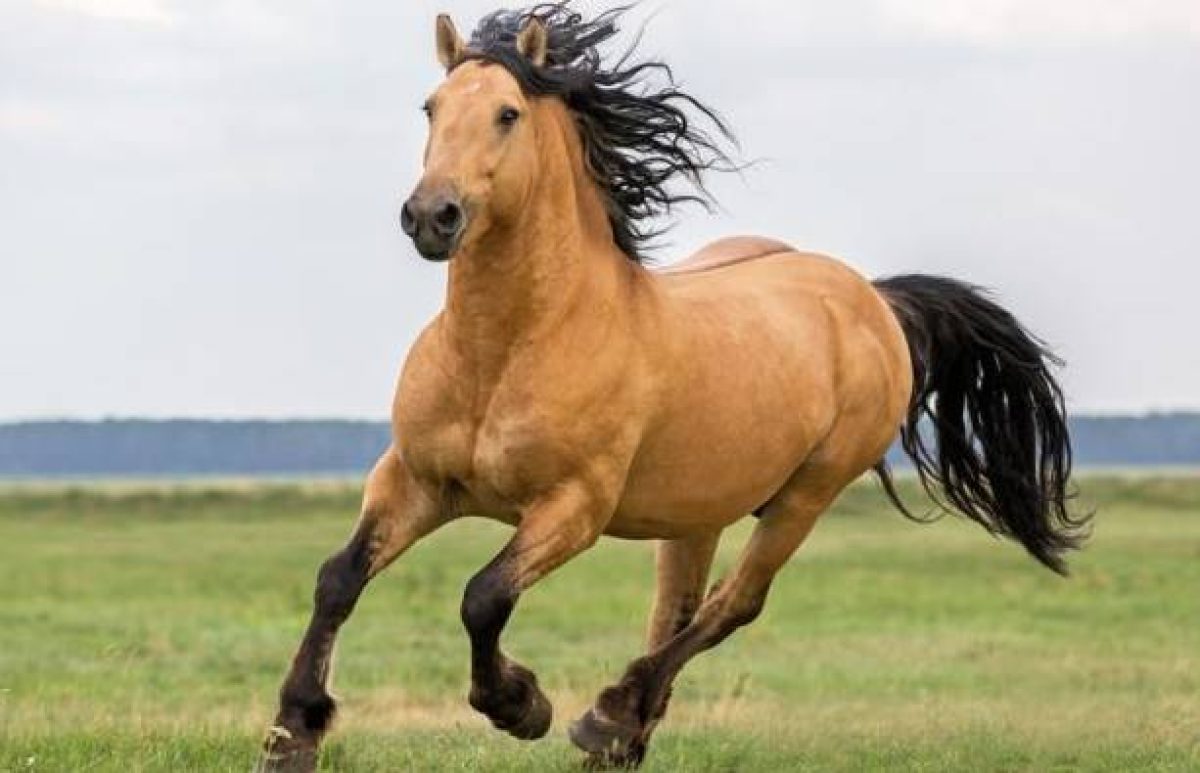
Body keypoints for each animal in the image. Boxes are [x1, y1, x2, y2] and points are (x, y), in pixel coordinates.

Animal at [259, 5, 1088, 770]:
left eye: (507, 113)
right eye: (431, 108)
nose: (432, 216)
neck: (507, 349)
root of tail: (872, 298)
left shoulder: (573, 506)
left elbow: (483, 595)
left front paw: (521, 705)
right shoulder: (415, 479)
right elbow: (338, 578)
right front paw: (293, 731)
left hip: (806, 495)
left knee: (731, 605)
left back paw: (605, 717)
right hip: (698, 512)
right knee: (677, 611)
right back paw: (622, 736)